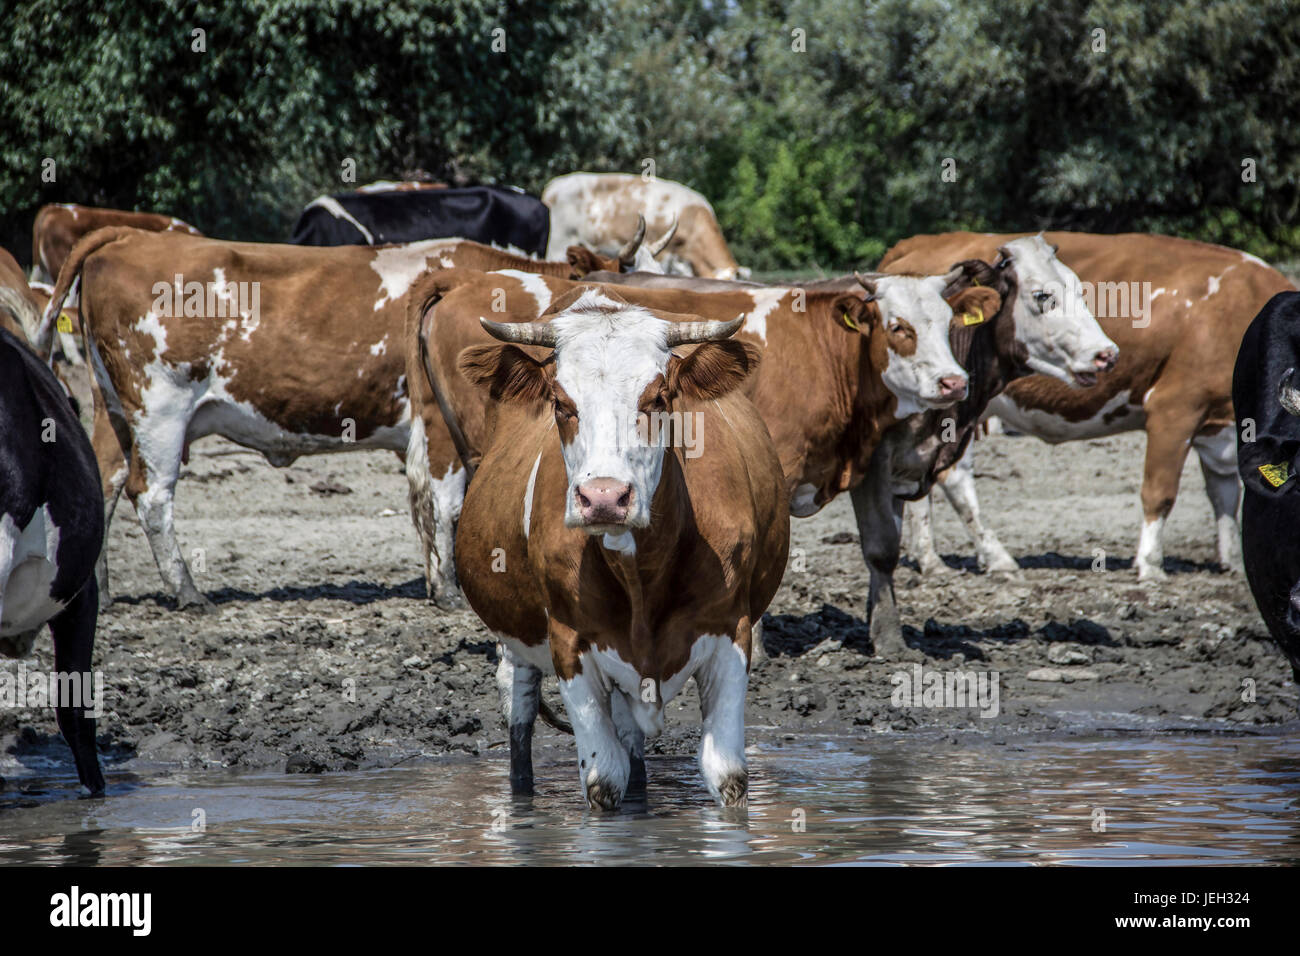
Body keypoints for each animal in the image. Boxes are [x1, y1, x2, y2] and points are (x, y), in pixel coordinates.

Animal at [35, 228, 663, 609]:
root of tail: (132, 234)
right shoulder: (438, 427)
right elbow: (444, 501)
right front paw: (449, 590)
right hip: (159, 407)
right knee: (151, 494)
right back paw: (189, 591)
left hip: (114, 407)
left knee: (106, 482)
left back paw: (99, 590)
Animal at [405, 267, 979, 619]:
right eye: (899, 327)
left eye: (949, 322)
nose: (954, 382)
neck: (820, 348)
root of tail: (460, 279)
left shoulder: (871, 455)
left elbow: (881, 546)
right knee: (445, 503)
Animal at [453, 291, 789, 808]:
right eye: (560, 402)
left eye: (658, 398)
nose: (605, 498)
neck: (639, 574)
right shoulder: (569, 642)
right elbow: (603, 778)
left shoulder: (732, 629)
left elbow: (727, 773)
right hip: (515, 642)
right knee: (519, 710)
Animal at [880, 231, 1296, 581]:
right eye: (1042, 296)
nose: (1106, 354)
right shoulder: (1174, 409)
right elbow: (1160, 492)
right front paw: (1150, 565)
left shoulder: (1219, 425)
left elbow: (1225, 493)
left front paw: (1233, 562)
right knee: (956, 480)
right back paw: (995, 557)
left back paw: (930, 559)